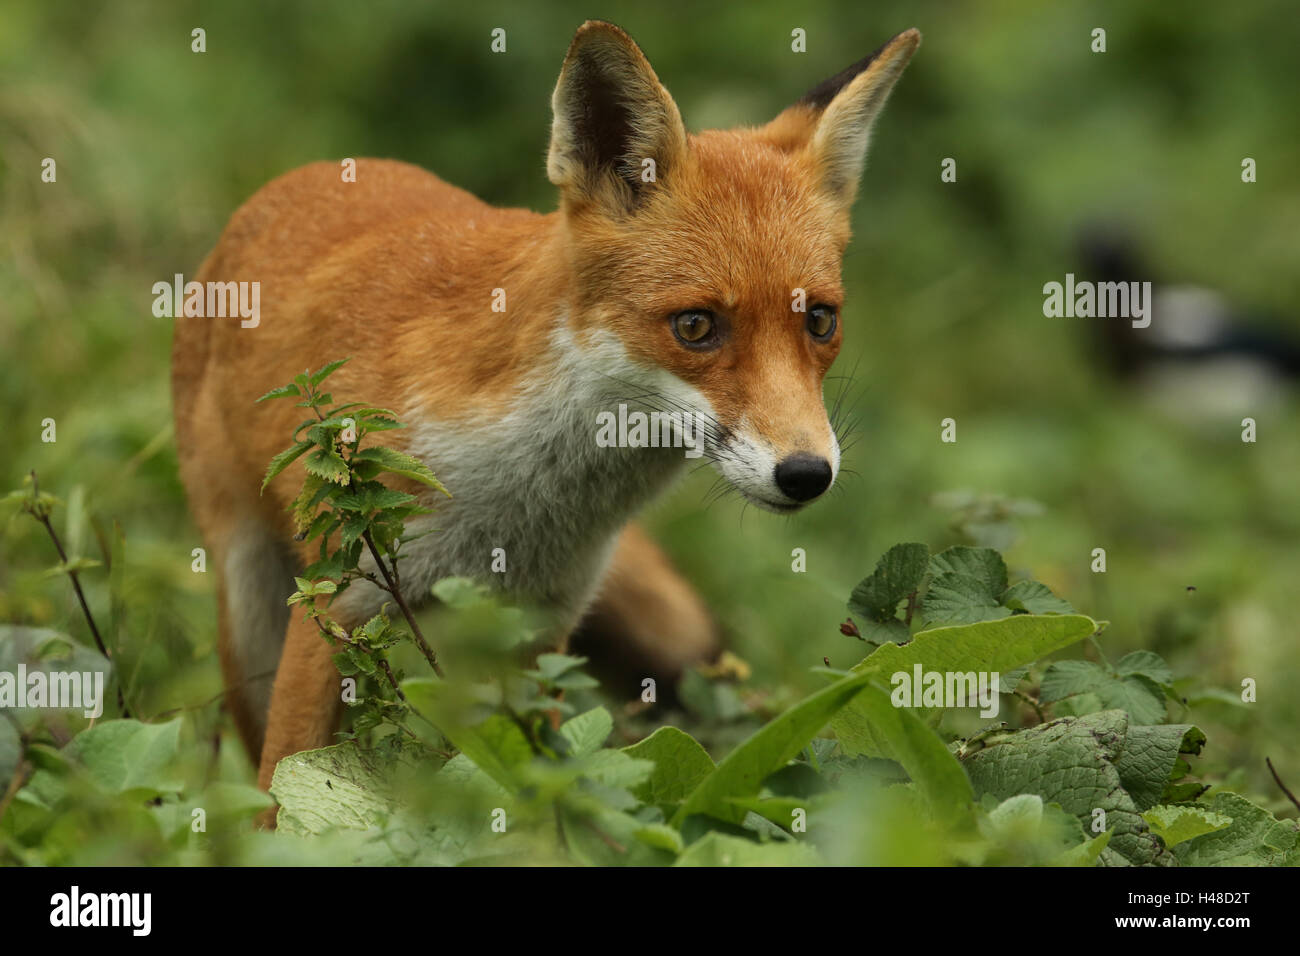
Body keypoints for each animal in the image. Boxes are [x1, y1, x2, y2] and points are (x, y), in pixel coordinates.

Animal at [171, 20, 920, 791]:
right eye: (695, 326)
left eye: (821, 321)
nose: (806, 474)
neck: (523, 494)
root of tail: (293, 179)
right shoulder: (334, 602)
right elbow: (283, 787)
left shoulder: (542, 630)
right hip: (251, 610)